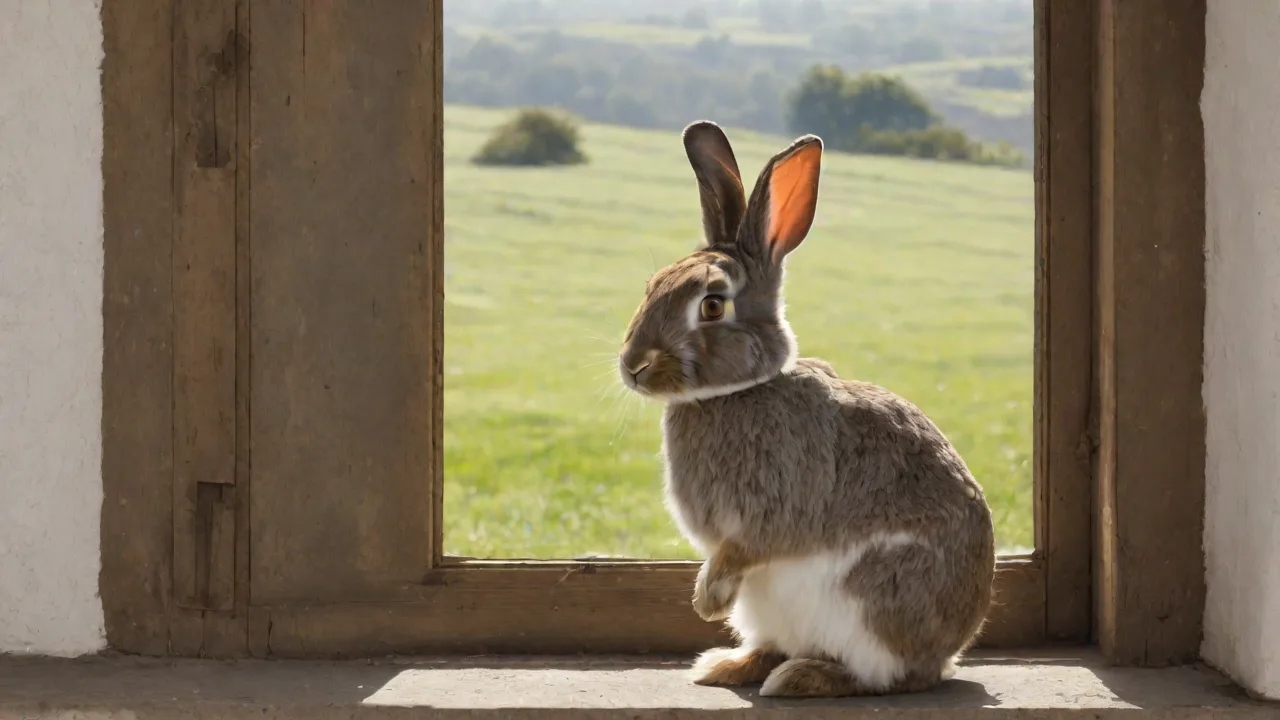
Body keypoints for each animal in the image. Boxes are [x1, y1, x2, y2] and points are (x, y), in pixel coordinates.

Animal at [616, 121, 996, 698]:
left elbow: (749, 546)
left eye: (712, 305)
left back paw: (801, 677)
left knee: (885, 676)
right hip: (769, 612)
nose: (632, 366)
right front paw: (707, 609)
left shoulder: (774, 505)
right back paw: (726, 666)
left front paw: (707, 600)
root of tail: (947, 653)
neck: (737, 392)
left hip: (871, 601)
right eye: (653, 285)